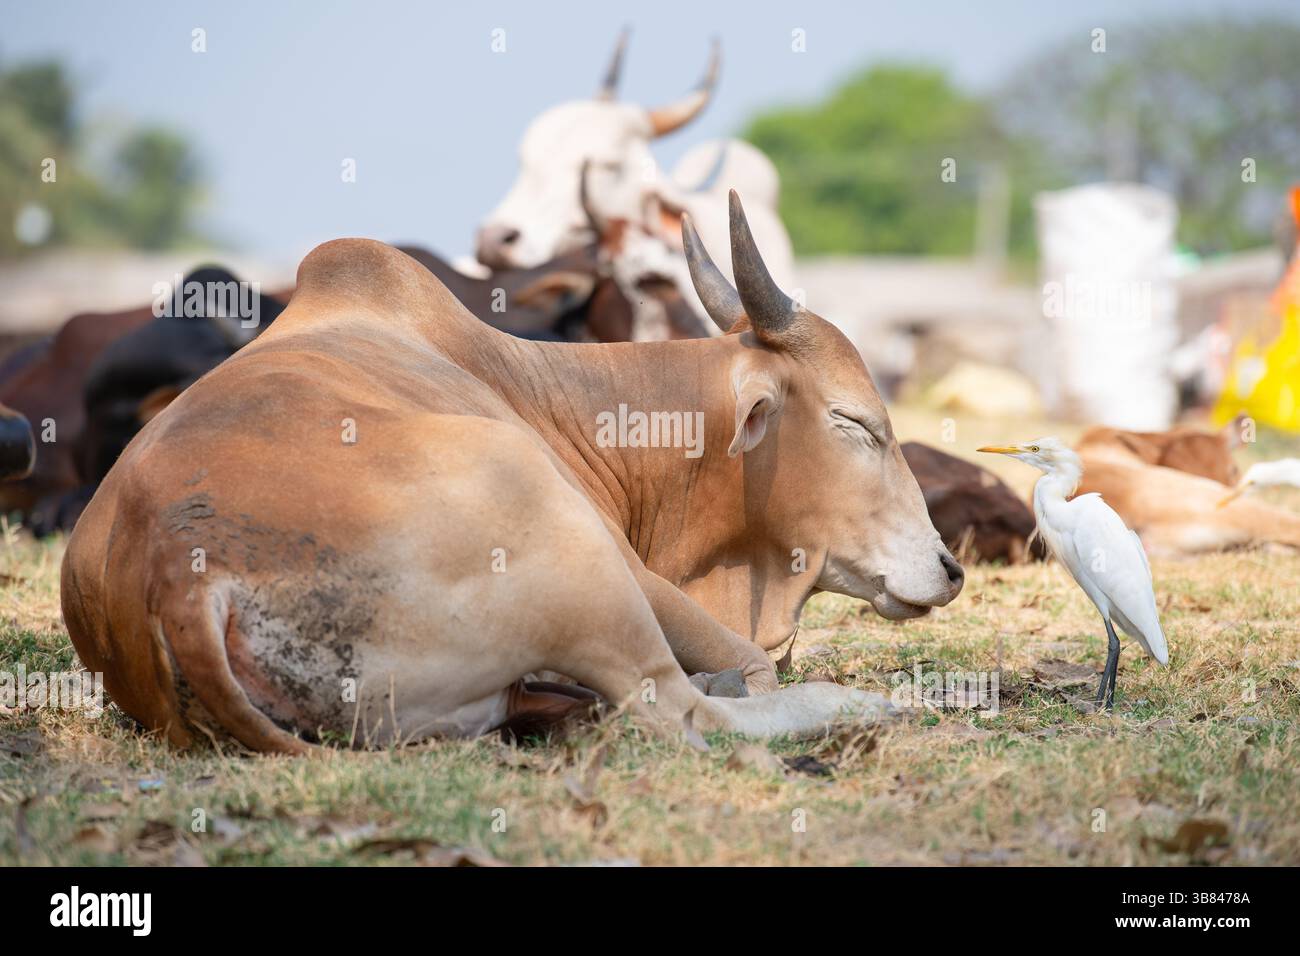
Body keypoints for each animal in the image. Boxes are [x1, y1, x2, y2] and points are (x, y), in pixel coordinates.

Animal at [60, 192, 963, 753]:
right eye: (855, 421)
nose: (949, 567)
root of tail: (178, 571)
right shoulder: (632, 567)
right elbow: (751, 663)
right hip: (575, 561)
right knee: (682, 710)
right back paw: (854, 705)